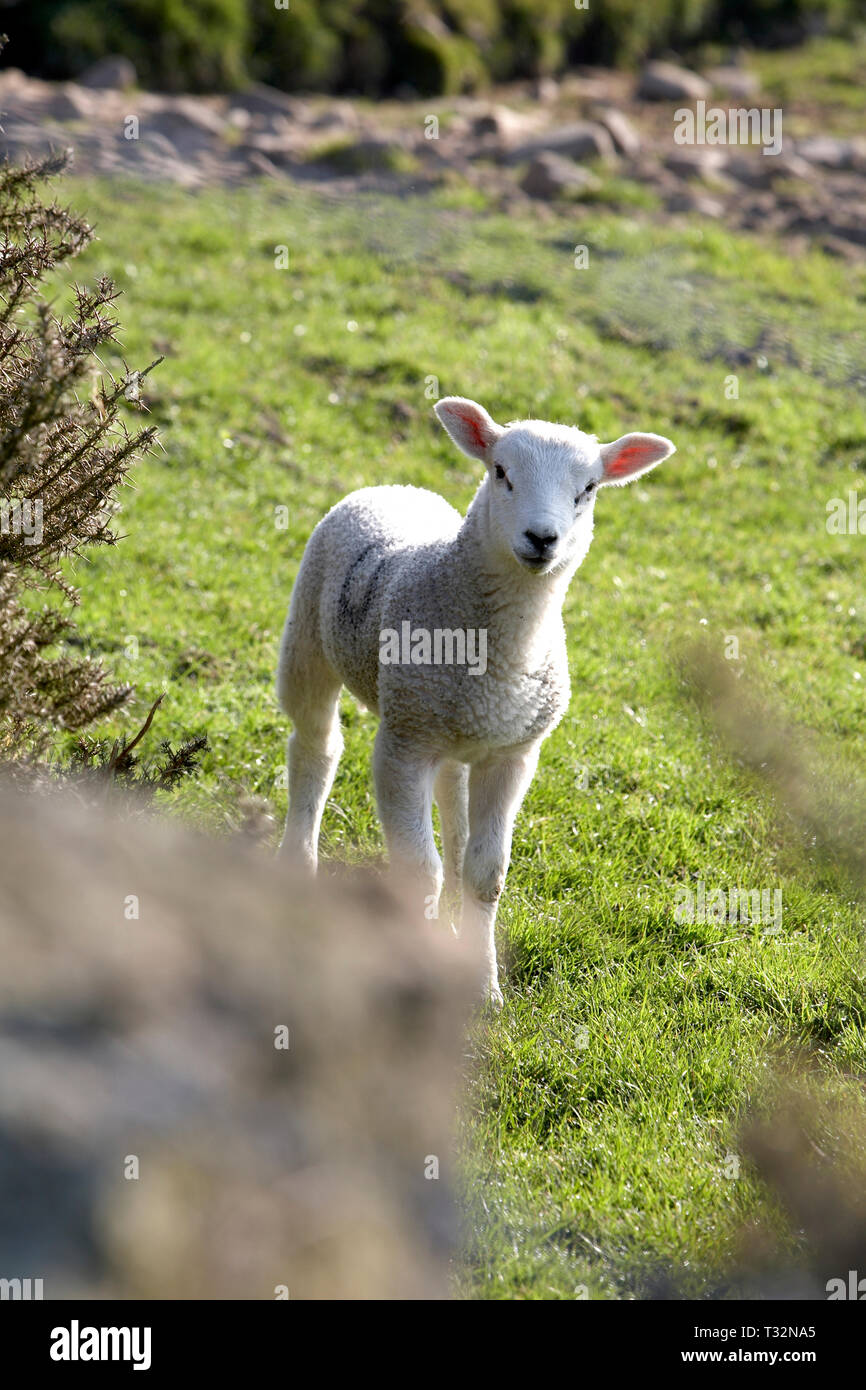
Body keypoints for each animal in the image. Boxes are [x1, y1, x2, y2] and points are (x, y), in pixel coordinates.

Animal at [276, 397, 675, 1006]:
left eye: (588, 488)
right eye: (501, 472)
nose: (542, 538)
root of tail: (397, 486)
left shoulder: (514, 753)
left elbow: (485, 873)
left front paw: (483, 984)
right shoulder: (403, 743)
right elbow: (420, 869)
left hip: (457, 729)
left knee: (453, 808)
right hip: (308, 642)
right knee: (315, 749)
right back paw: (297, 866)